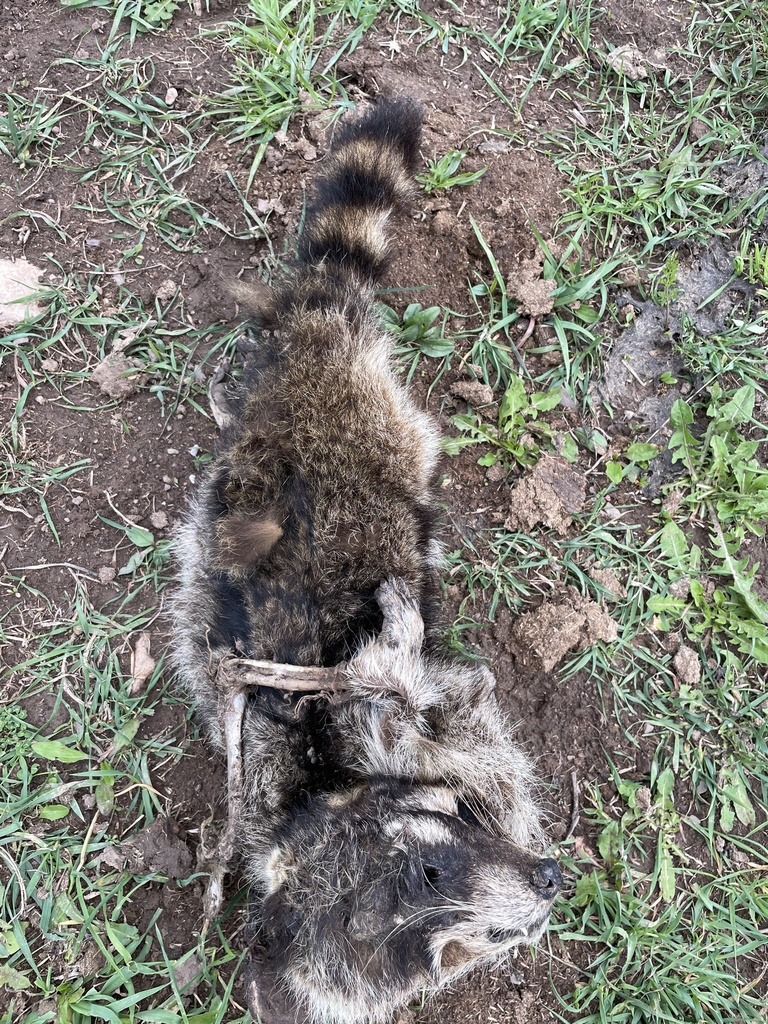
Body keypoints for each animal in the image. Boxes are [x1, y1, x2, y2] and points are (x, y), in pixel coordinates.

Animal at [171, 98, 561, 1024]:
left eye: (440, 848)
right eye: (460, 939)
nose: (549, 880)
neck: (317, 795)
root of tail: (312, 348)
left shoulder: (426, 733)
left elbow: (404, 692)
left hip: (382, 426)